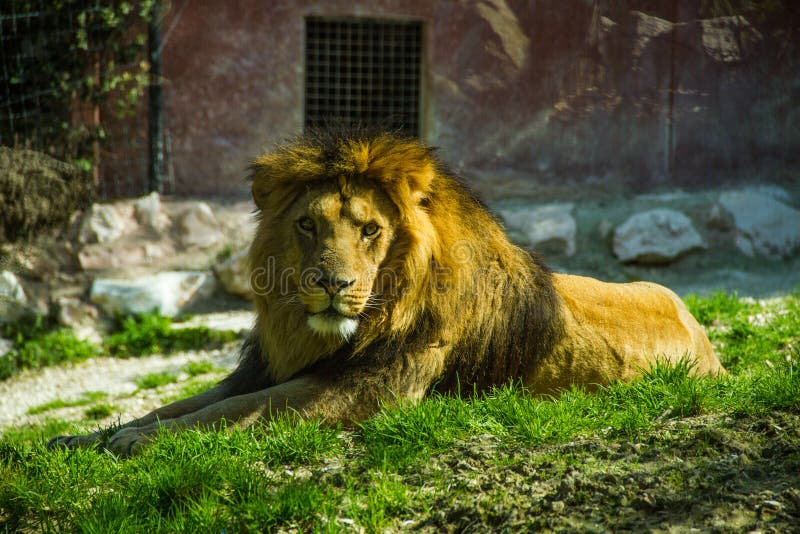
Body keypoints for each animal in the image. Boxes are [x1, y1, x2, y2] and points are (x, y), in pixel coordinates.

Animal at [50, 130, 725, 456]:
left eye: (370, 230)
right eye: (307, 225)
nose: (332, 283)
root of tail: (708, 340)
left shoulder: (366, 390)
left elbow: (236, 412)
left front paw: (135, 442)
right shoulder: (263, 368)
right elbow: (175, 404)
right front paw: (82, 437)